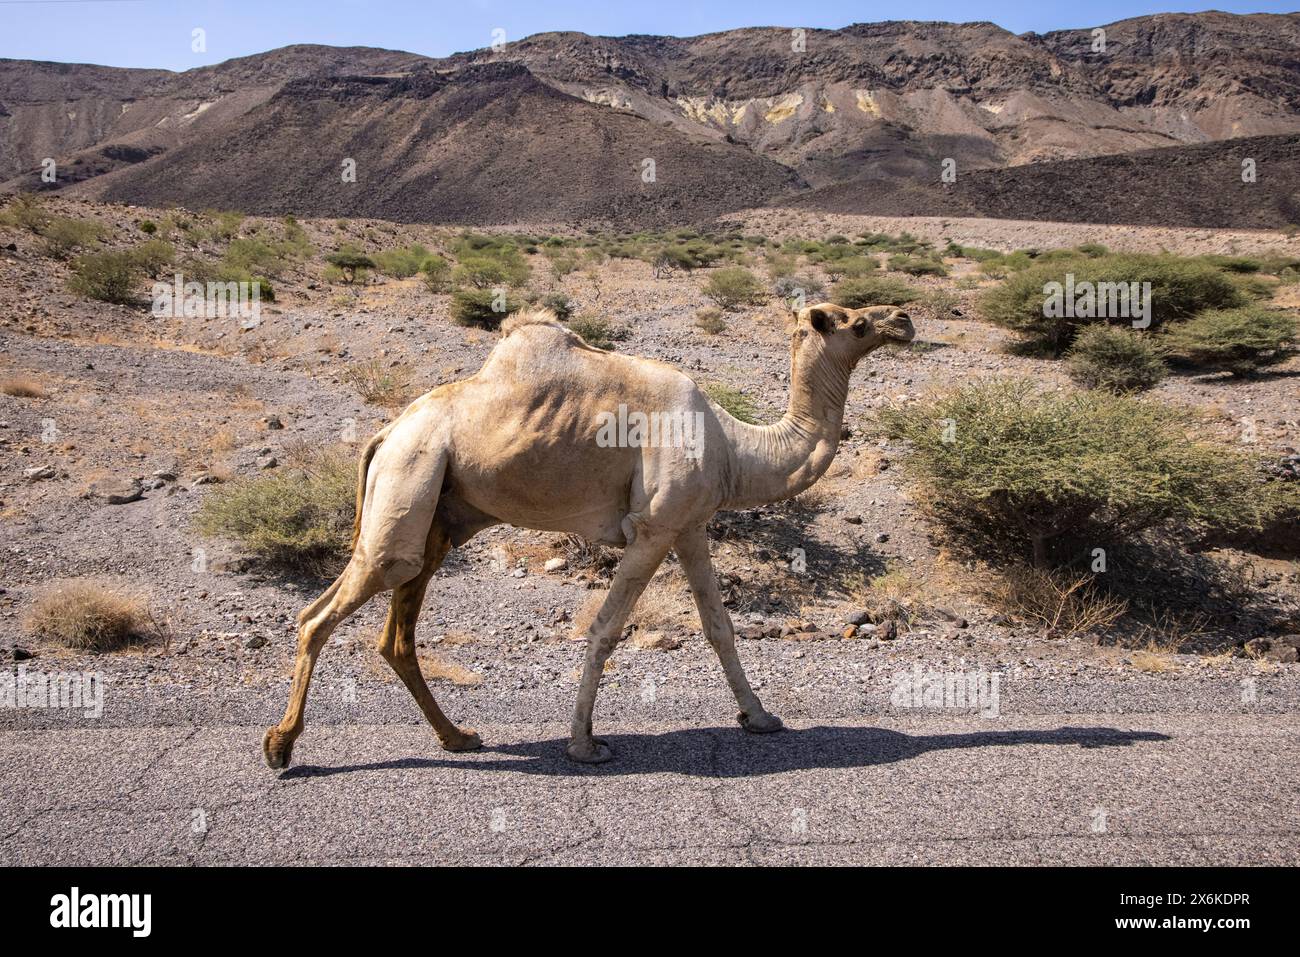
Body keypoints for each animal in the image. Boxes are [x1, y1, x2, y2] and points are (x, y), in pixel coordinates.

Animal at [263, 301, 915, 767]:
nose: (904, 318)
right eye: (854, 320)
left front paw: (760, 719)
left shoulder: (689, 525)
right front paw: (583, 743)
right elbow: (605, 629)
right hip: (410, 473)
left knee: (395, 633)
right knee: (323, 612)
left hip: (437, 517)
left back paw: (459, 737)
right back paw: (281, 746)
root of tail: (384, 432)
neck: (735, 448)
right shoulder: (653, 527)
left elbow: (719, 627)